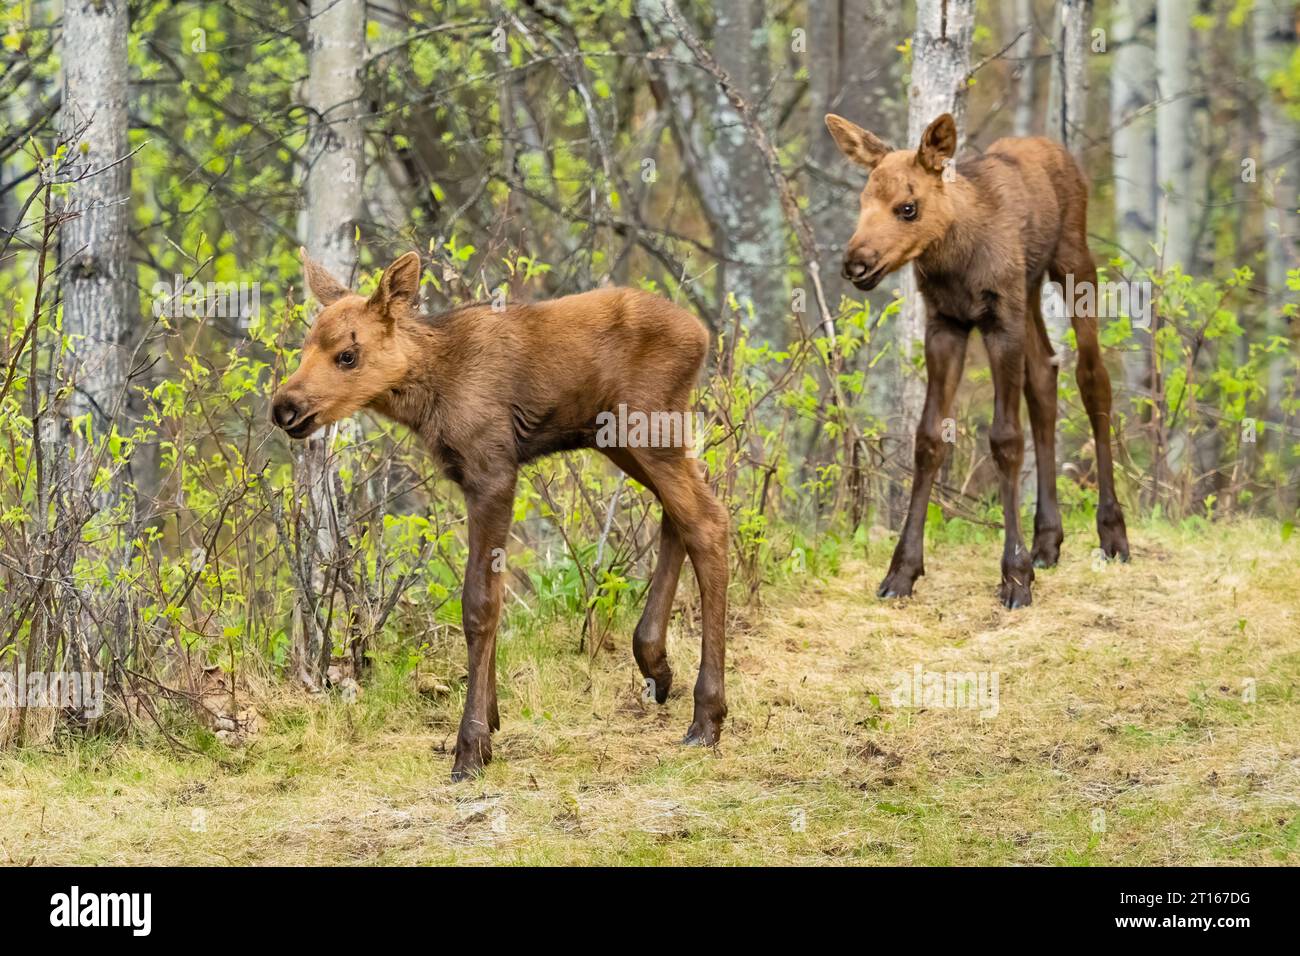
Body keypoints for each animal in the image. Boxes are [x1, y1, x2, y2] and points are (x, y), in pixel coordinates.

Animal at [271, 250, 729, 780]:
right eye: (304, 346)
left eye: (348, 354)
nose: (284, 407)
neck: (429, 391)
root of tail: (702, 335)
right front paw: (490, 720)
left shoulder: (493, 471)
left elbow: (480, 605)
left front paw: (471, 746)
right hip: (624, 439)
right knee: (683, 510)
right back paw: (656, 664)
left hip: (649, 427)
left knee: (708, 522)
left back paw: (706, 717)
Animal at [824, 112, 1129, 609]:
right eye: (862, 200)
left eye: (907, 207)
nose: (856, 264)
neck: (955, 261)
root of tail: (1054, 147)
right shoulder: (946, 324)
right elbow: (929, 438)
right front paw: (901, 571)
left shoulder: (998, 322)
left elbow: (1005, 440)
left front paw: (1015, 577)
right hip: (1027, 292)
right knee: (1044, 373)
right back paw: (1048, 540)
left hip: (1073, 264)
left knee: (1092, 378)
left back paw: (1113, 534)